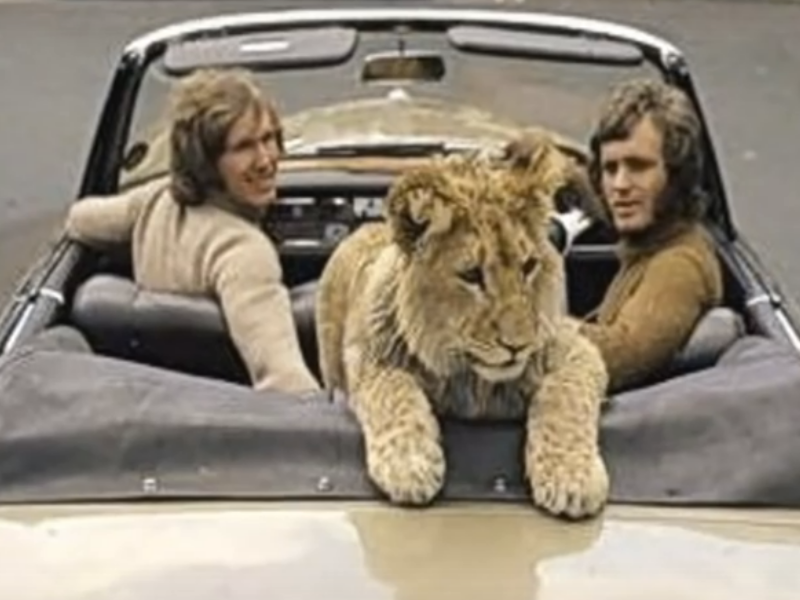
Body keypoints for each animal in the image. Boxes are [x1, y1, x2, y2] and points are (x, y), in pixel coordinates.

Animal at [315, 131, 610, 519]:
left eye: (528, 266)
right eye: (471, 276)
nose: (518, 345)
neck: (472, 379)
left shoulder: (576, 349)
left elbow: (566, 396)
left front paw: (571, 479)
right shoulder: (367, 357)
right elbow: (391, 390)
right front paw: (409, 465)